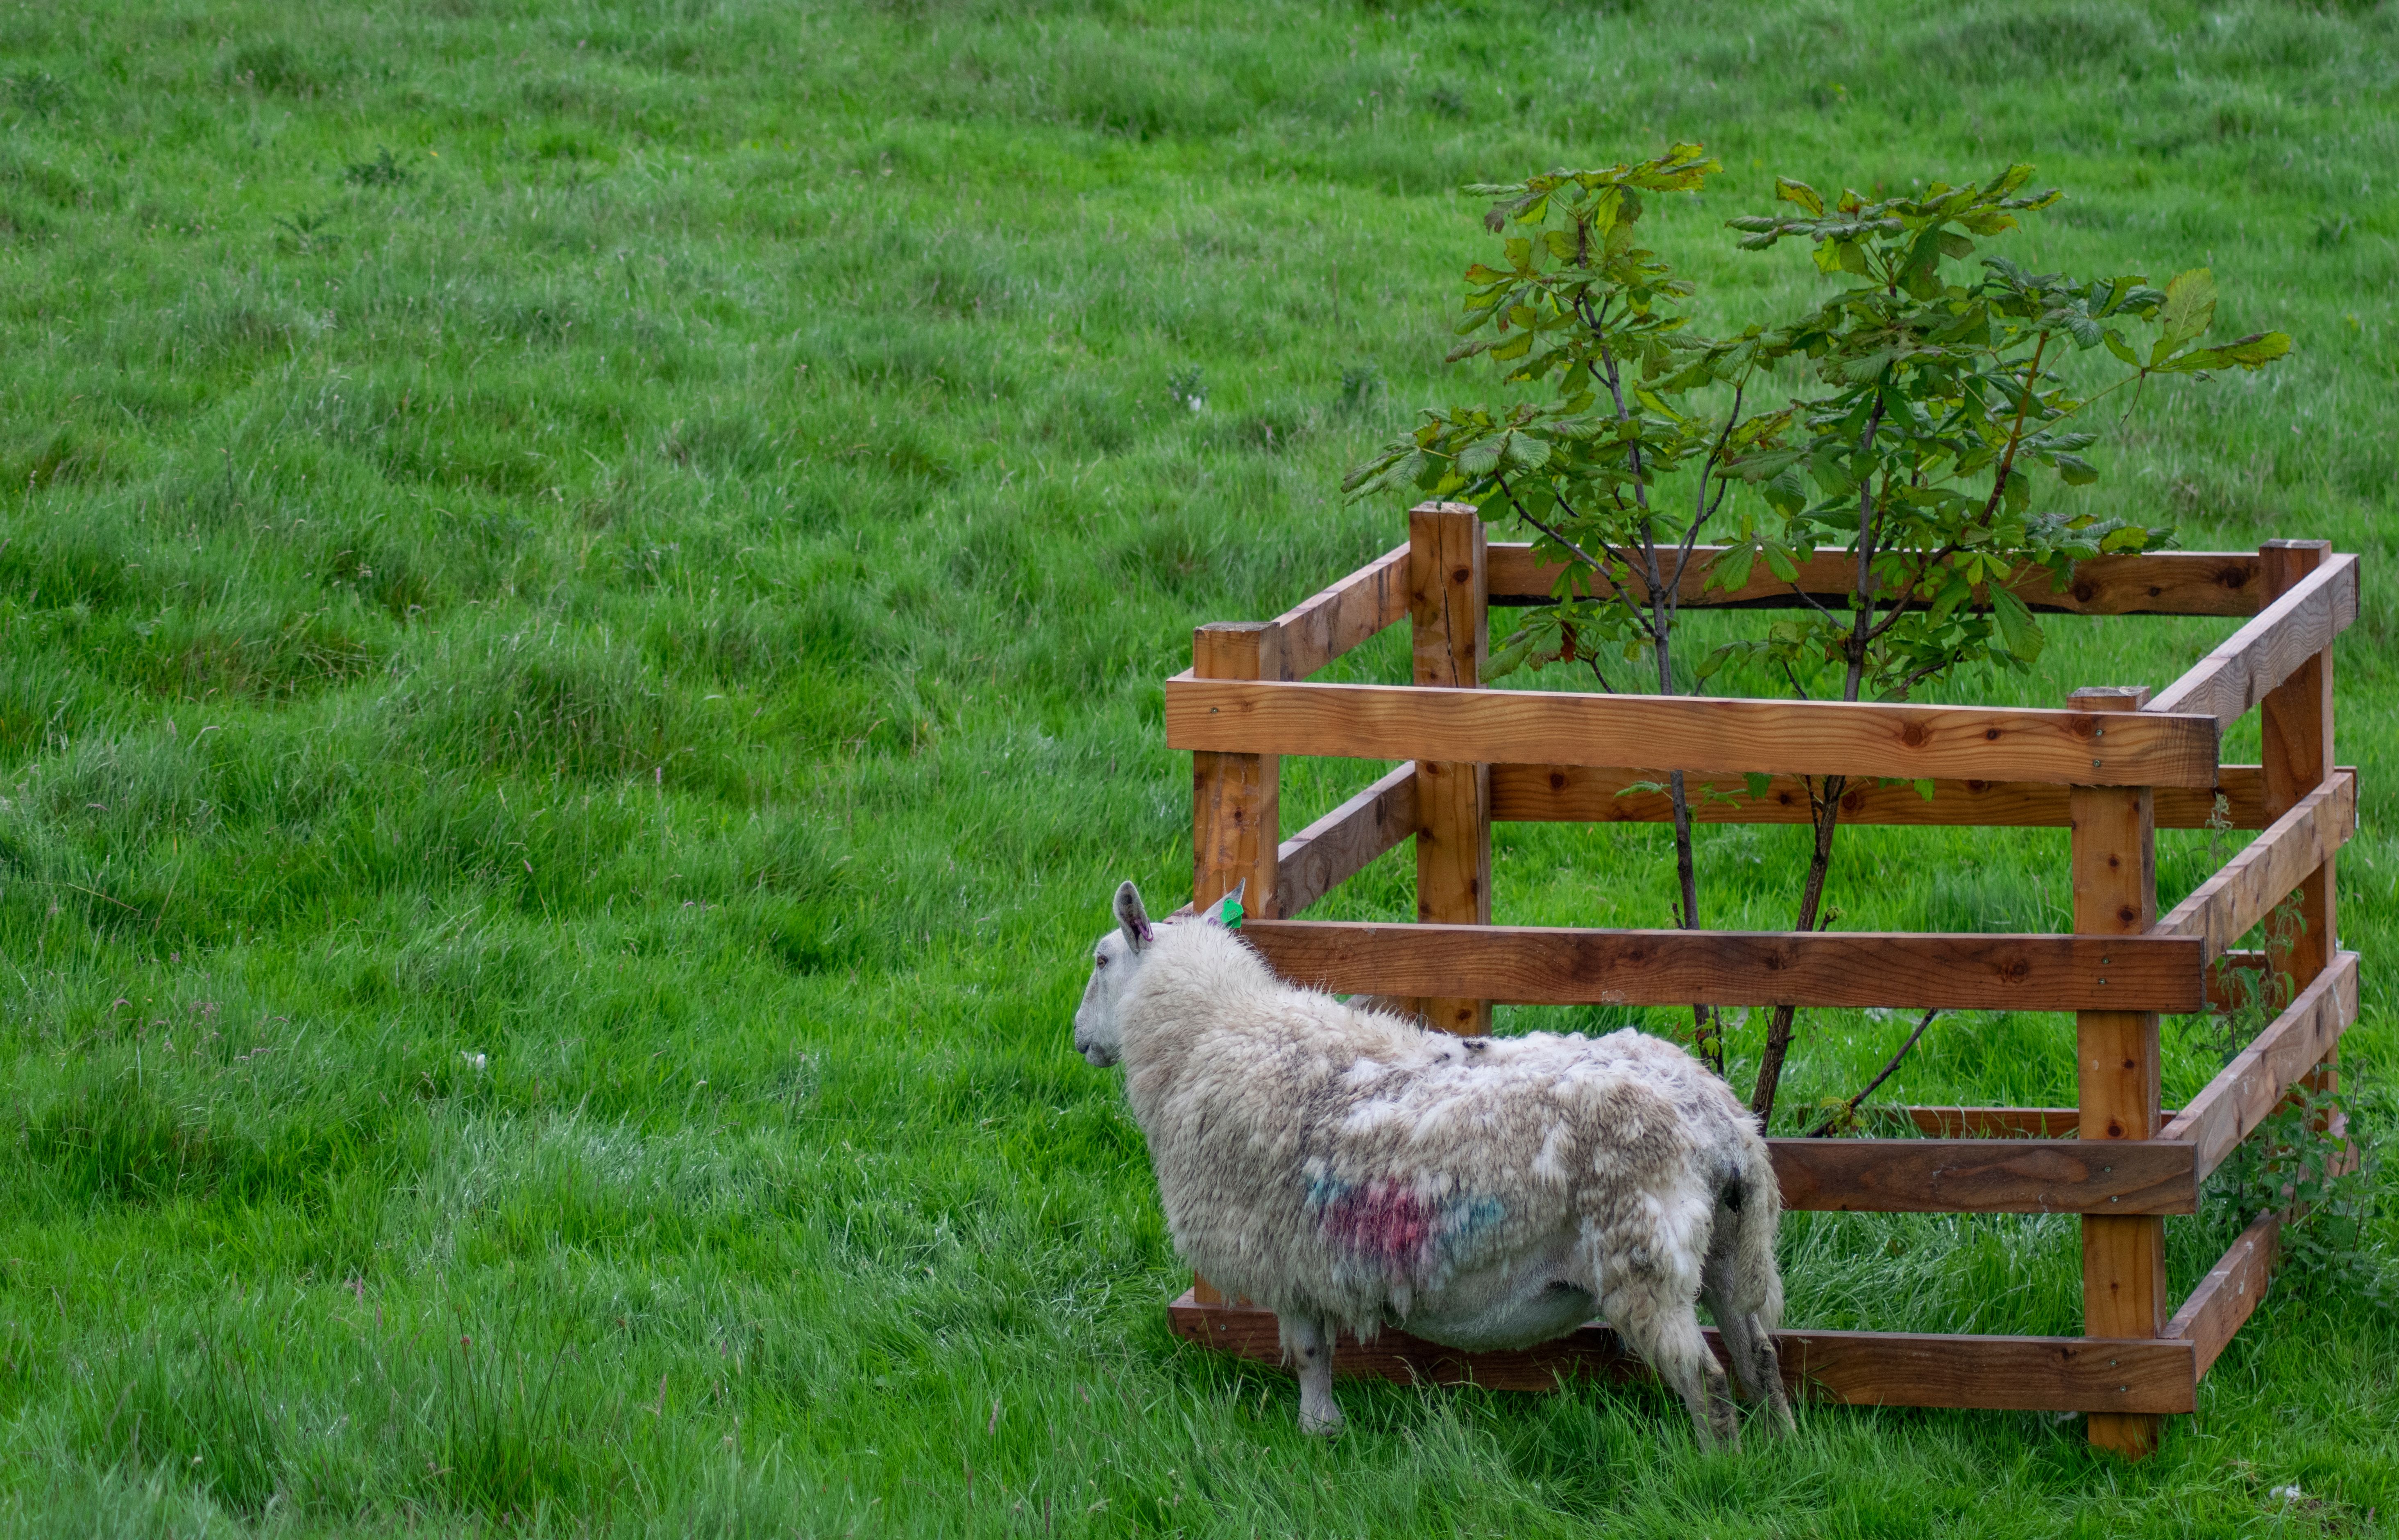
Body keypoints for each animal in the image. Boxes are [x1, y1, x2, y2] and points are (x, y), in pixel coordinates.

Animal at [1073, 880, 1793, 1447]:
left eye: (1102, 959)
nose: (1079, 1042)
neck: (1209, 1034)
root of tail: (1725, 1124)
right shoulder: (1302, 1256)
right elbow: (1317, 1351)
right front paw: (1325, 1430)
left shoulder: (1283, 1257)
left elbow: (1308, 1353)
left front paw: (1317, 1432)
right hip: (1724, 1249)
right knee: (1758, 1351)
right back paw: (1779, 1449)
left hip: (1643, 1255)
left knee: (1706, 1378)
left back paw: (1717, 1466)